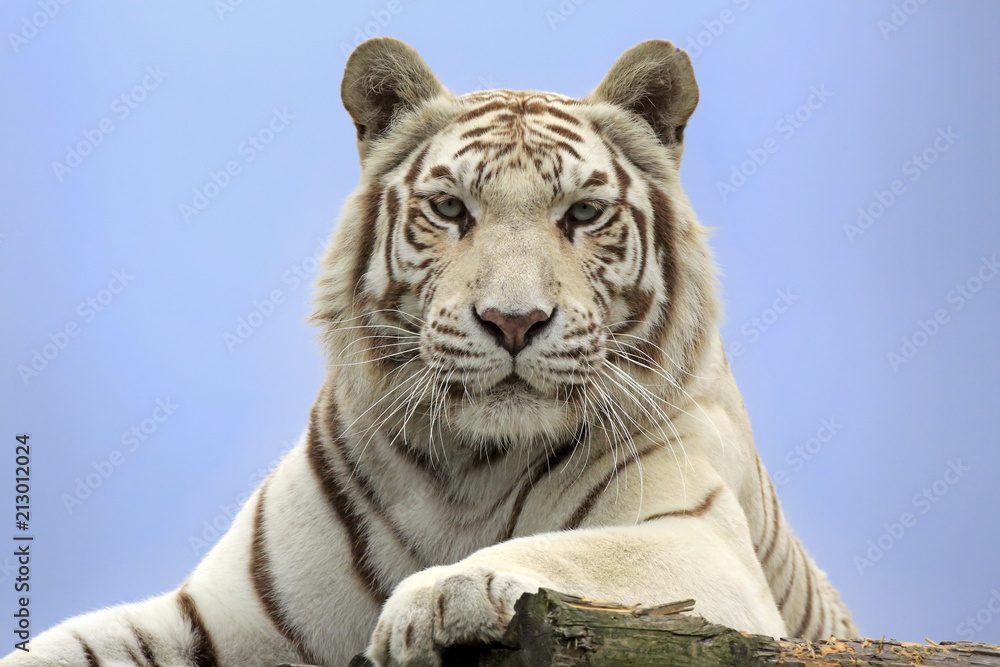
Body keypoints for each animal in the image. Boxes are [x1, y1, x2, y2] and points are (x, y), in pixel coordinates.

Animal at [4, 37, 858, 667]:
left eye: (582, 214)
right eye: (450, 208)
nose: (513, 321)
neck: (466, 471)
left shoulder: (702, 543)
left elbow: (582, 551)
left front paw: (440, 595)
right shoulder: (211, 615)